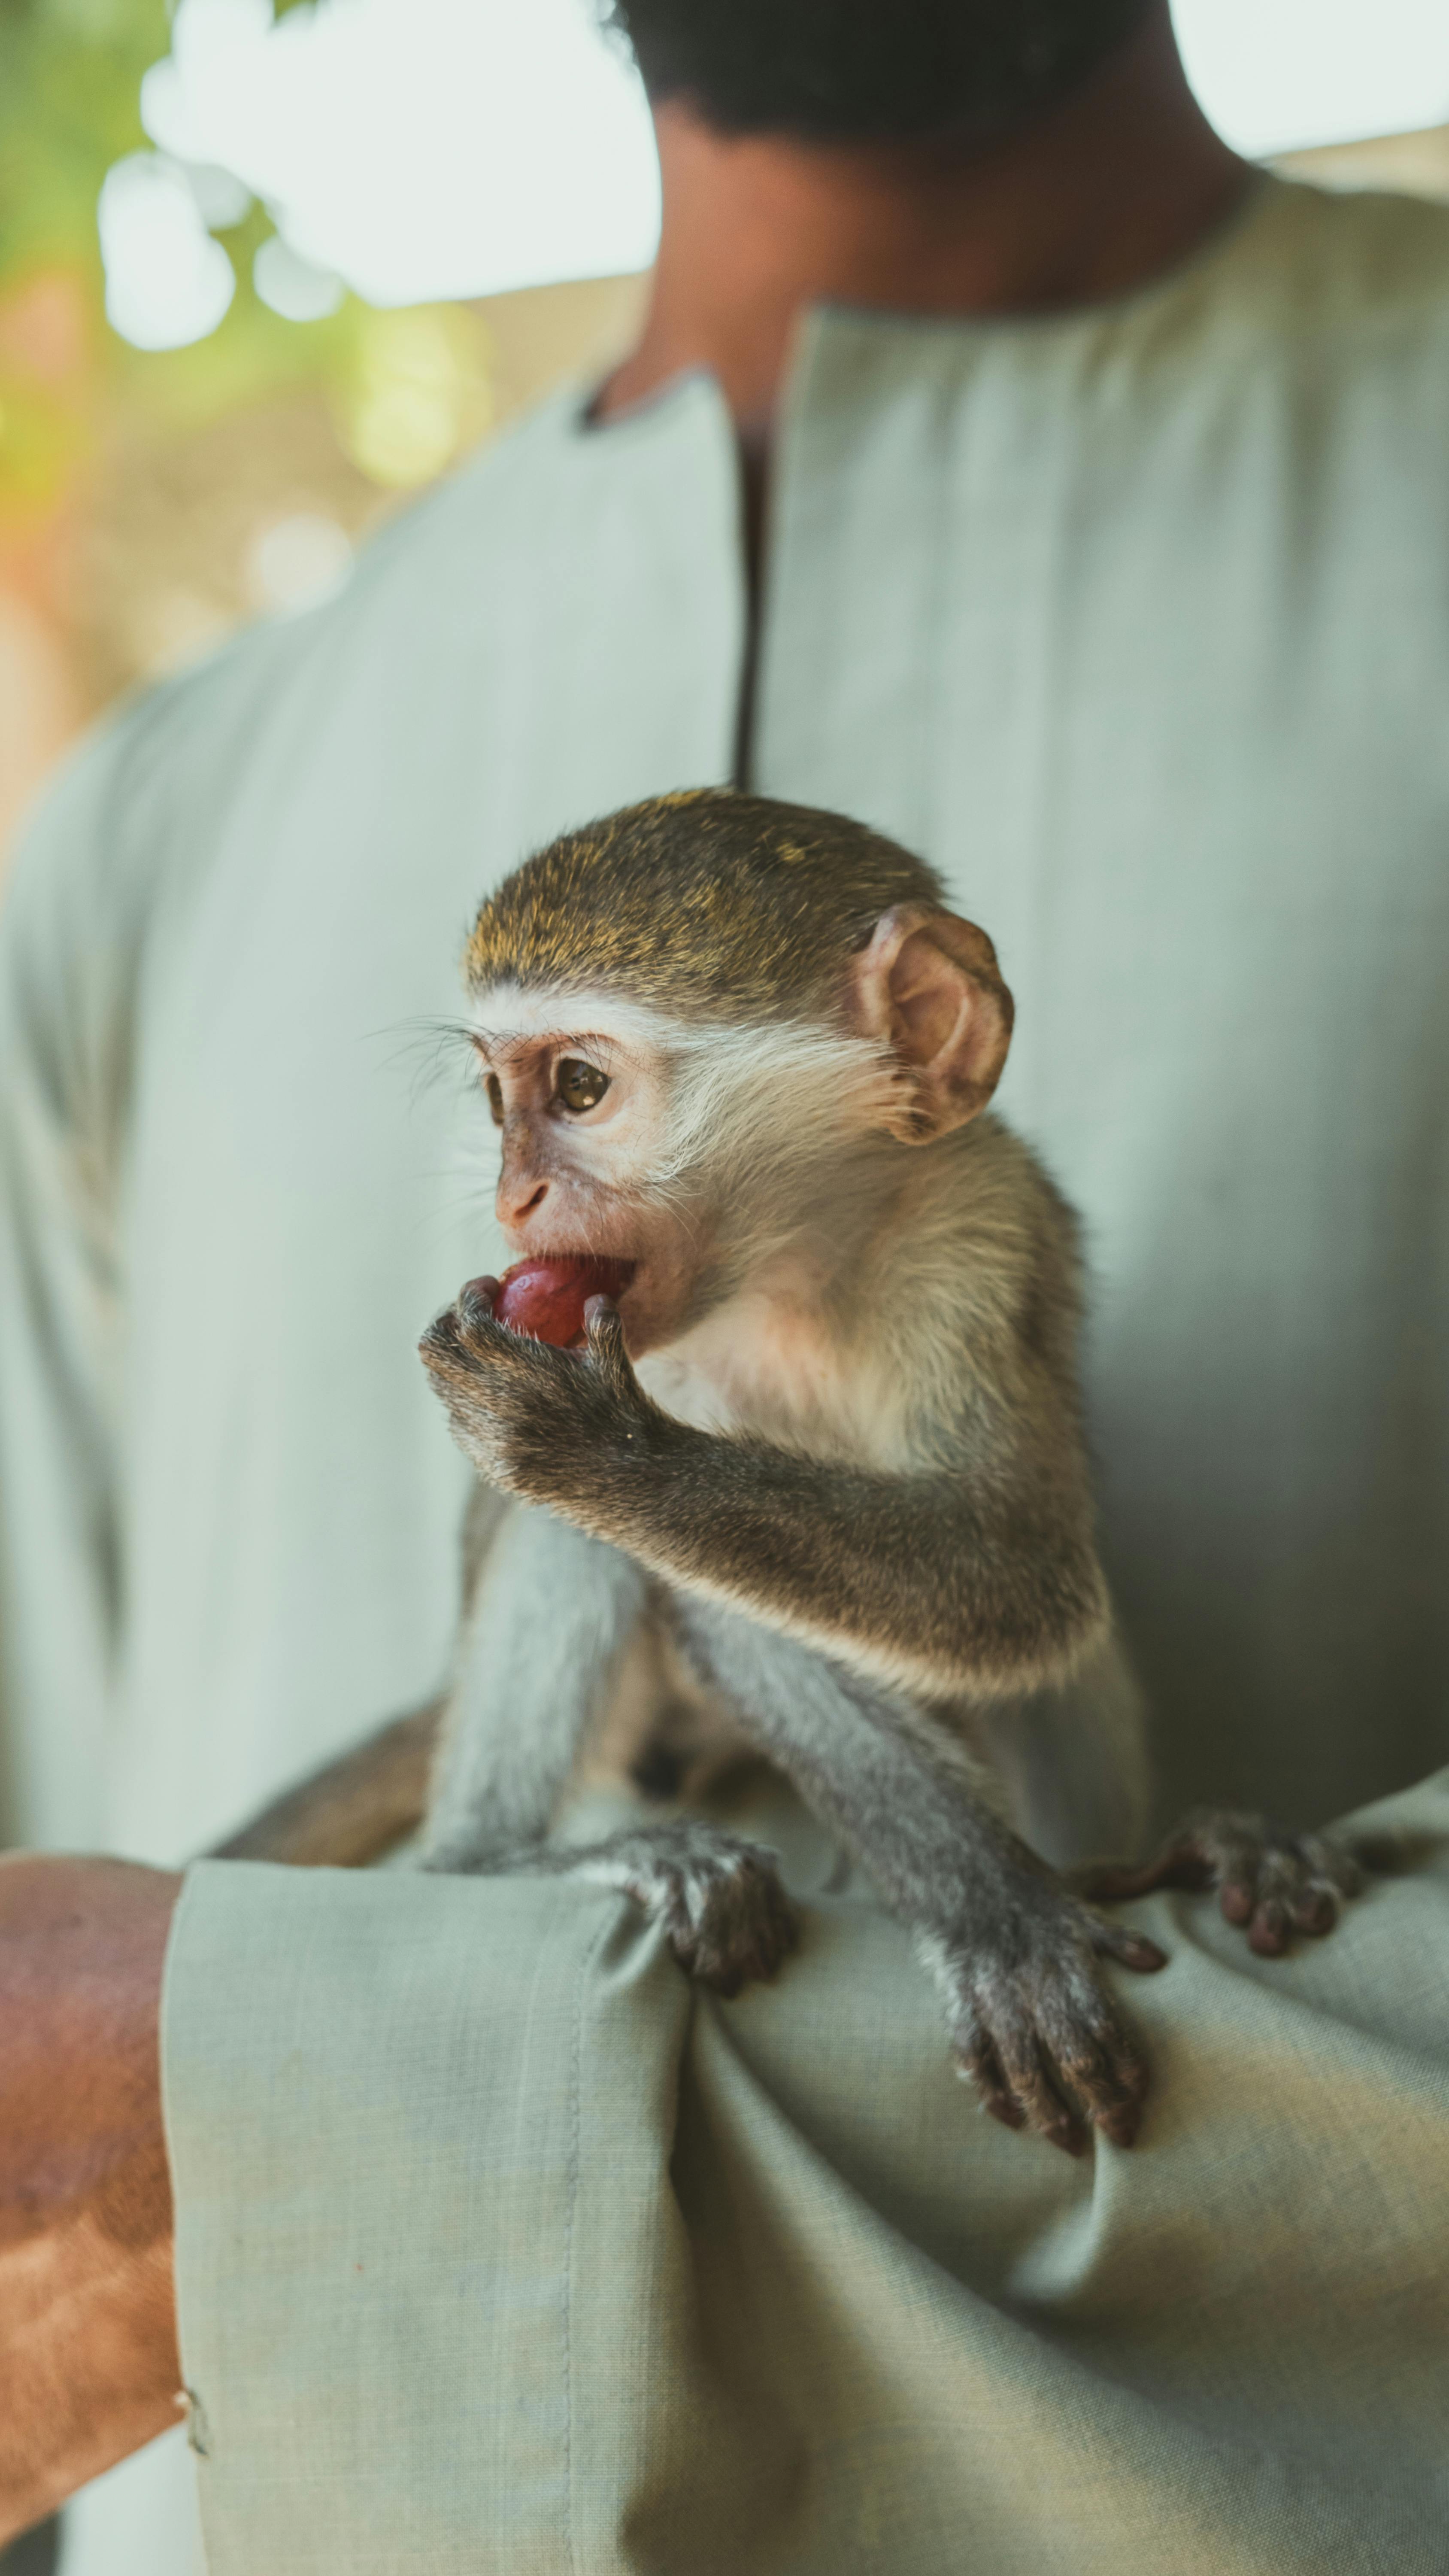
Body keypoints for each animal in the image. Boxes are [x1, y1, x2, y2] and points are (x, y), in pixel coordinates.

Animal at [218, 790, 1363, 2156]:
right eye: (498, 1099)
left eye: (579, 1088)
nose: (514, 1199)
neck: (795, 1269)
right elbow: (723, 1599)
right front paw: (996, 1911)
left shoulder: (984, 1230)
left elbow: (1029, 1576)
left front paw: (599, 1452)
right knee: (556, 1549)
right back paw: (498, 1862)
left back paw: (1143, 1863)